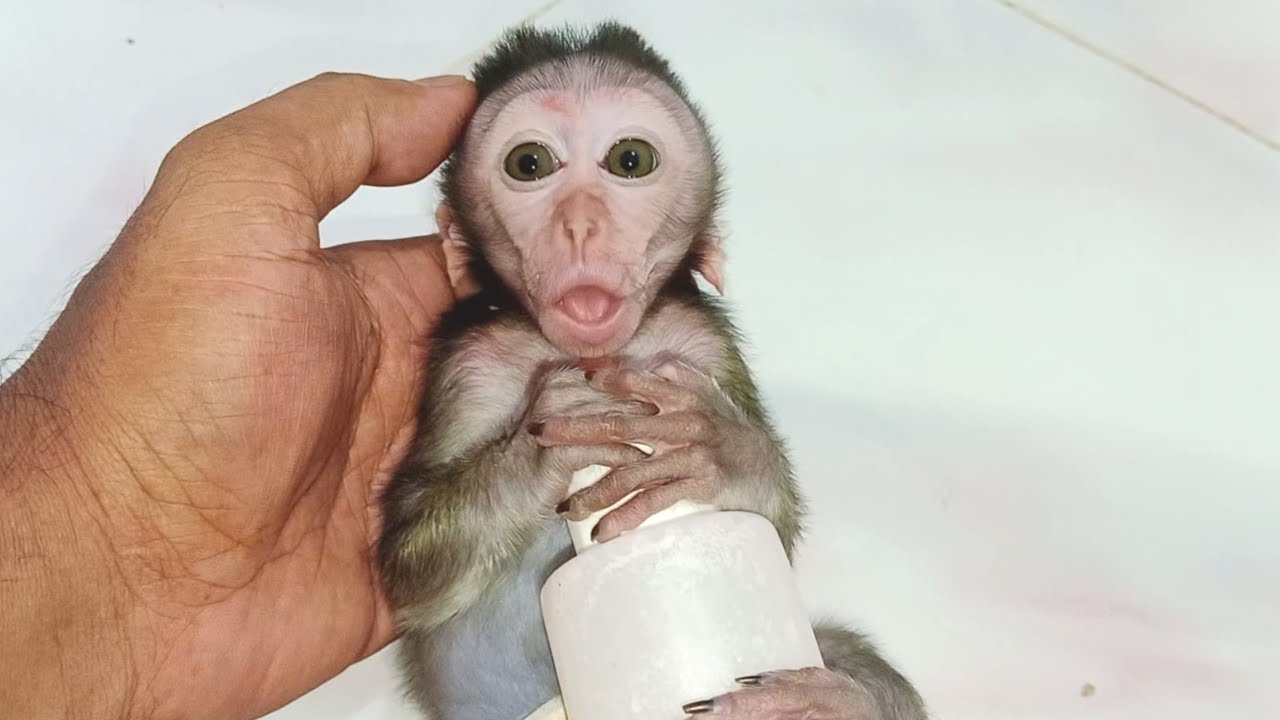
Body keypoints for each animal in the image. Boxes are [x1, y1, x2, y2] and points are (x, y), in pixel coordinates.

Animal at [377, 22, 928, 720]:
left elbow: (770, 530)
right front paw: (543, 448)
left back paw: (833, 699)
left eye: (630, 160)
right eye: (529, 164)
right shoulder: (472, 365)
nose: (581, 224)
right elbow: (408, 570)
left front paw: (718, 449)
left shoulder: (702, 345)